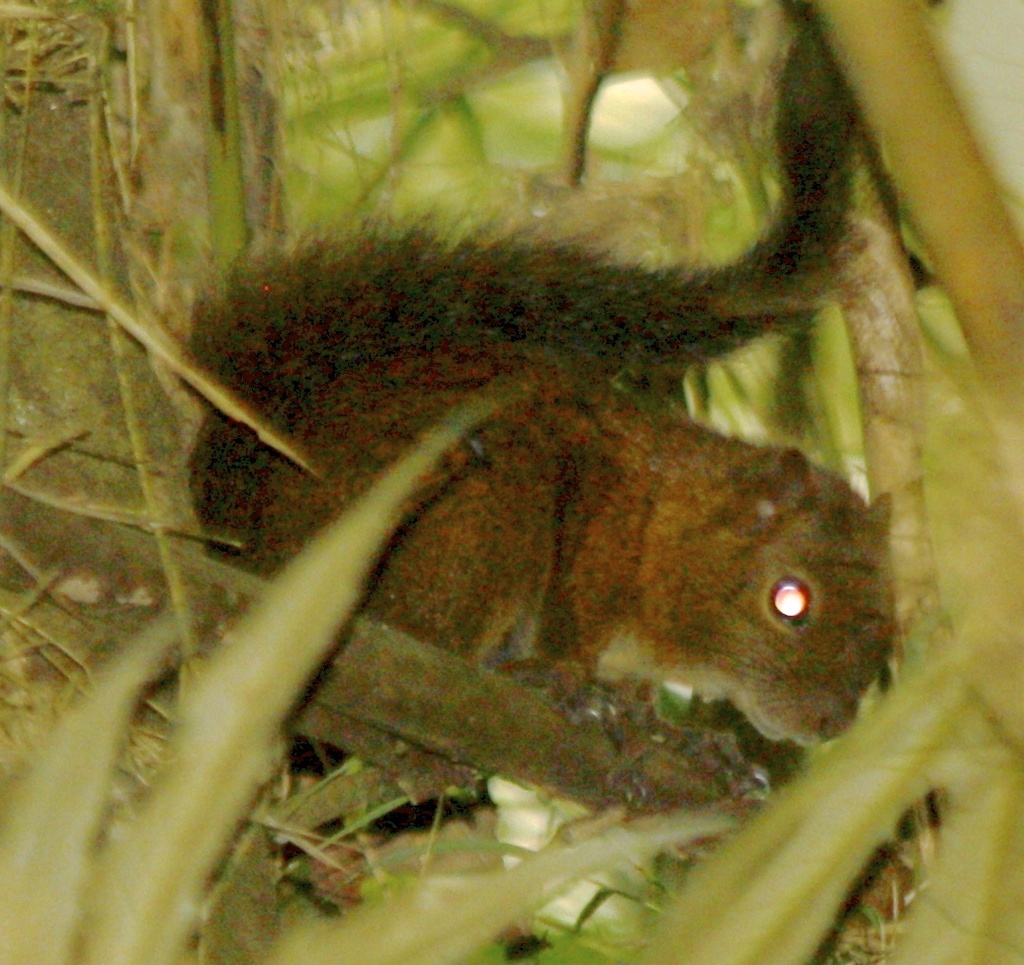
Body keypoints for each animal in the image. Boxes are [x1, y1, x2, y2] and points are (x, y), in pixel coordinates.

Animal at [188, 4, 893, 745]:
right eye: (790, 600)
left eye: (884, 625)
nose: (831, 720)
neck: (664, 525)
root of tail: (253, 547)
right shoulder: (601, 511)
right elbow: (575, 604)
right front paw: (571, 676)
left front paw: (679, 731)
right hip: (485, 508)